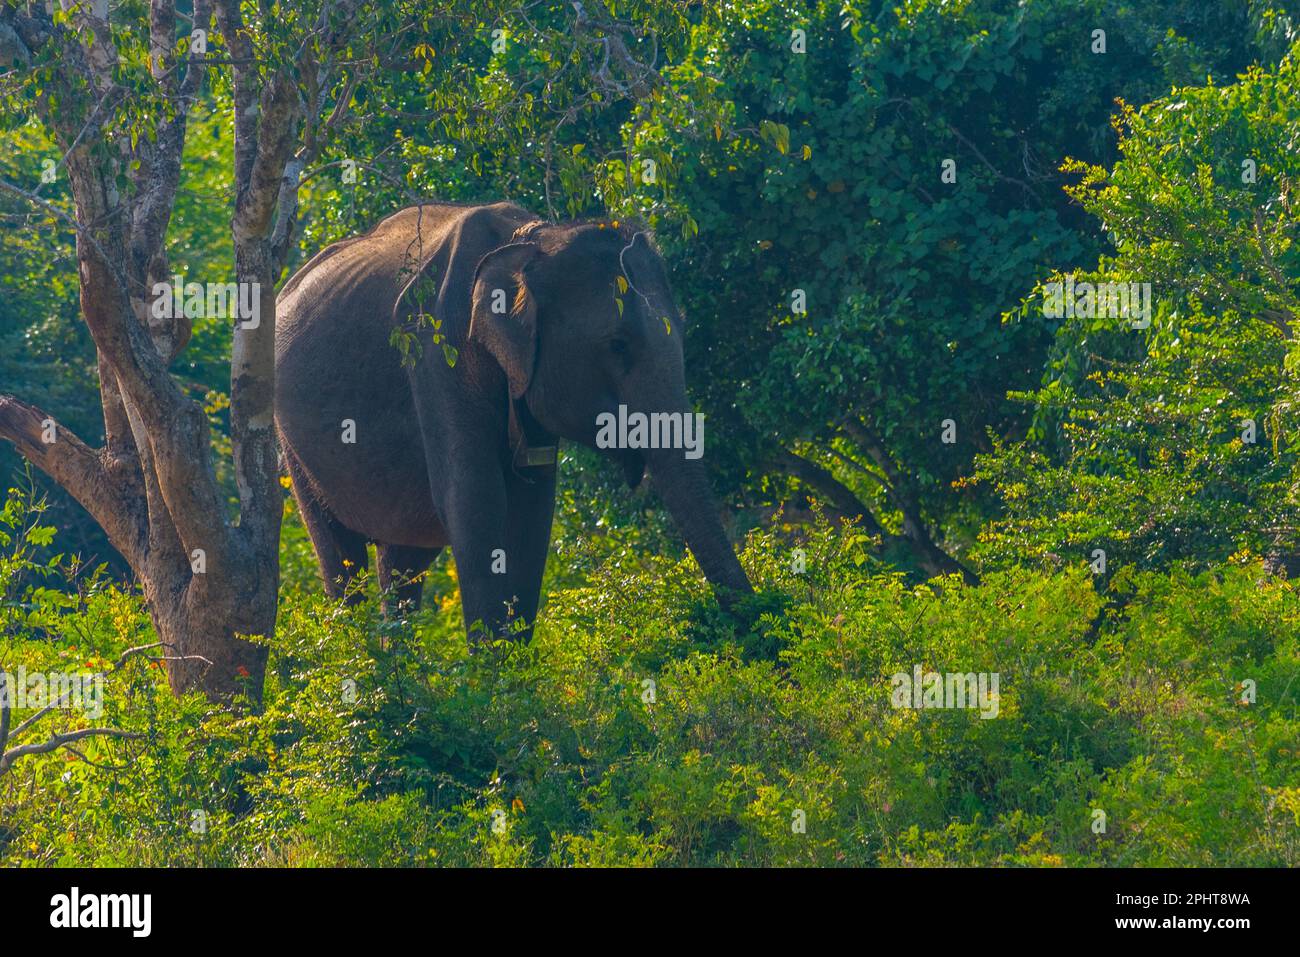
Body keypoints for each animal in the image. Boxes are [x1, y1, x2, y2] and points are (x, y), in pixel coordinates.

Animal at [274, 201, 752, 640]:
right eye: (617, 344)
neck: (534, 242)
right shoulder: (437, 349)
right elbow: (474, 498)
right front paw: (491, 672)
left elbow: (533, 507)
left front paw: (513, 665)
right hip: (292, 444)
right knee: (340, 554)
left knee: (403, 561)